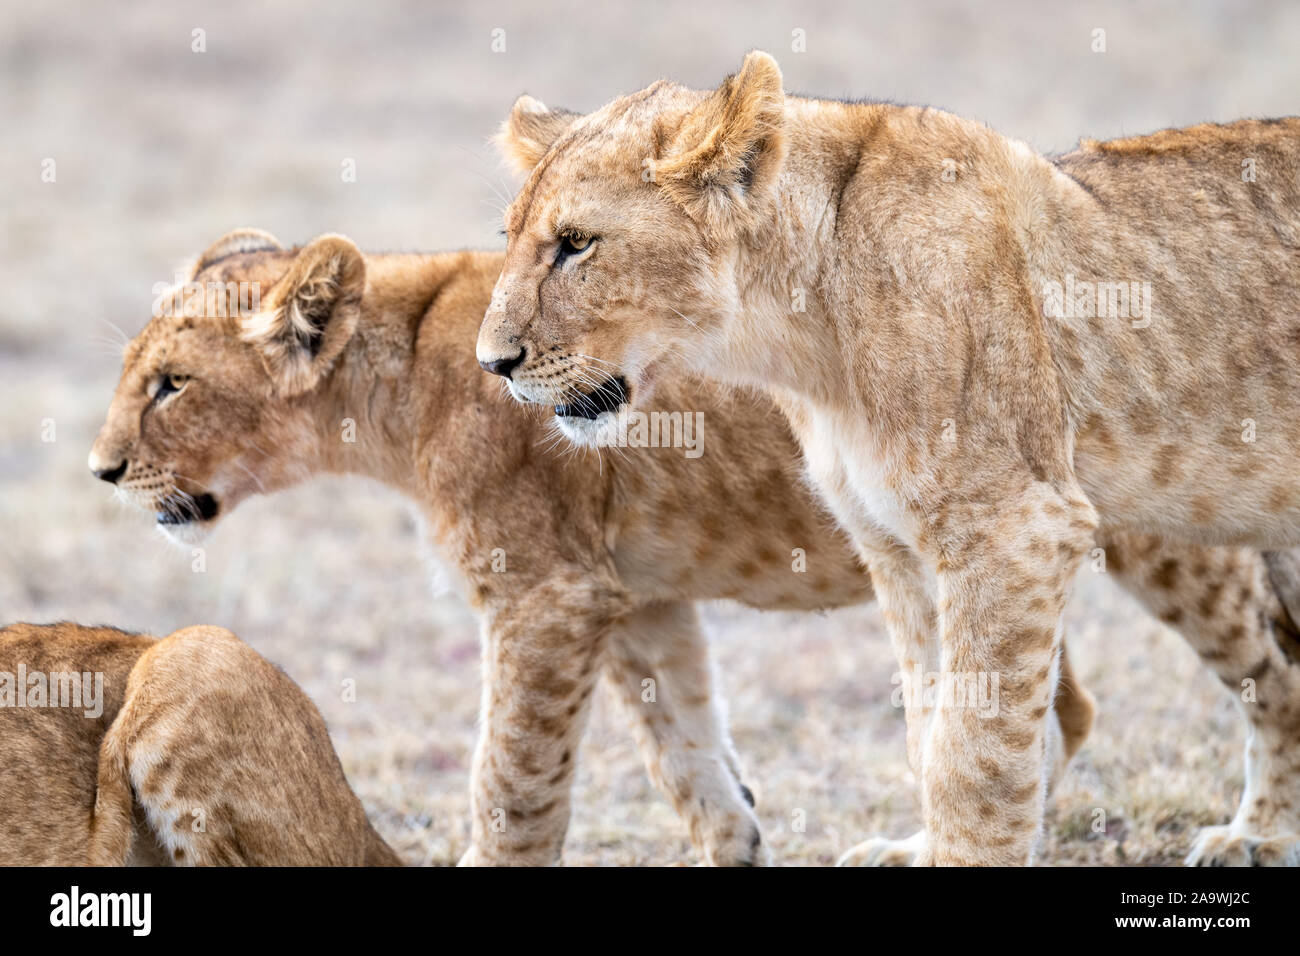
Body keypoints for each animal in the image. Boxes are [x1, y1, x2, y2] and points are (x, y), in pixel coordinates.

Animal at [90, 229, 1297, 866]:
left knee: (1270, 676)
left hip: (1156, 532)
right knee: (1056, 710)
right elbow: (687, 754)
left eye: (170, 384)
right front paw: (737, 844)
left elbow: (509, 777)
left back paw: (1248, 834)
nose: (101, 470)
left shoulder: (543, 597)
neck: (399, 380)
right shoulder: (632, 597)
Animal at [477, 52, 1300, 865]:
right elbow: (928, 740)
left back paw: (1258, 834)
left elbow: (975, 762)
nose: (493, 364)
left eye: (576, 242)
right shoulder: (896, 546)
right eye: (510, 235)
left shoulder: (1014, 529)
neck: (807, 343)